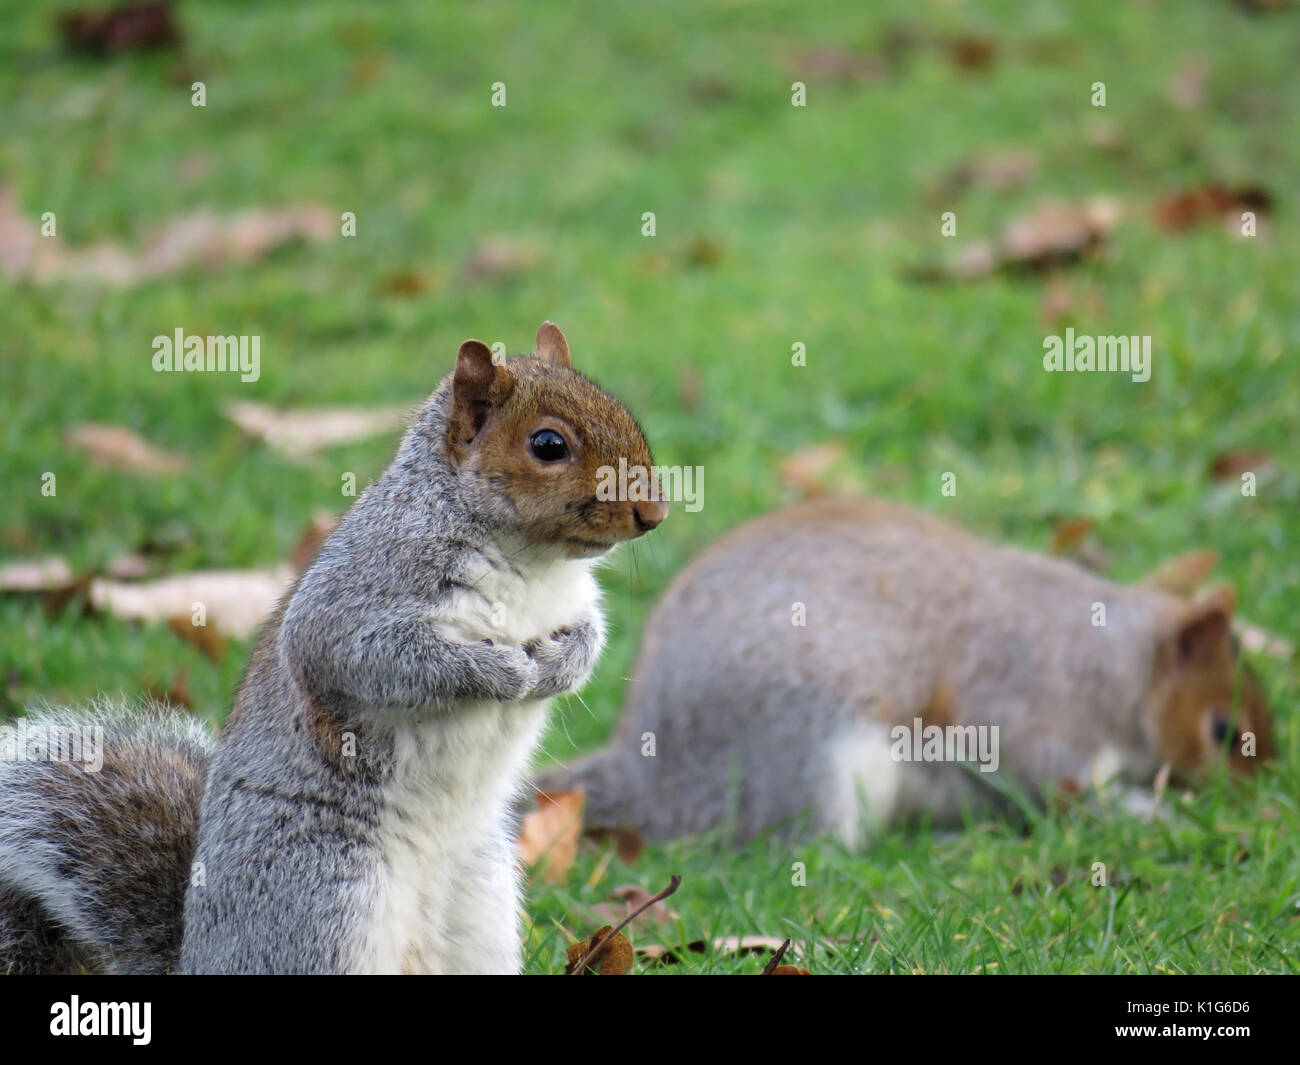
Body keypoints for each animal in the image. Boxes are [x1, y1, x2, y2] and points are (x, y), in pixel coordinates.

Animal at [0, 322, 667, 974]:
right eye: (548, 445)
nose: (654, 512)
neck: (532, 563)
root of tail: (198, 958)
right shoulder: (358, 596)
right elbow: (372, 655)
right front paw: (498, 670)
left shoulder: (576, 603)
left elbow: (590, 636)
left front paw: (559, 666)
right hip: (325, 902)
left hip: (483, 903)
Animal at [541, 497, 1274, 845]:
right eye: (1220, 728)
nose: (1256, 791)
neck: (1109, 665)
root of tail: (660, 777)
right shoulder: (1026, 699)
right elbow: (1058, 782)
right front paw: (1148, 811)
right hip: (810, 750)